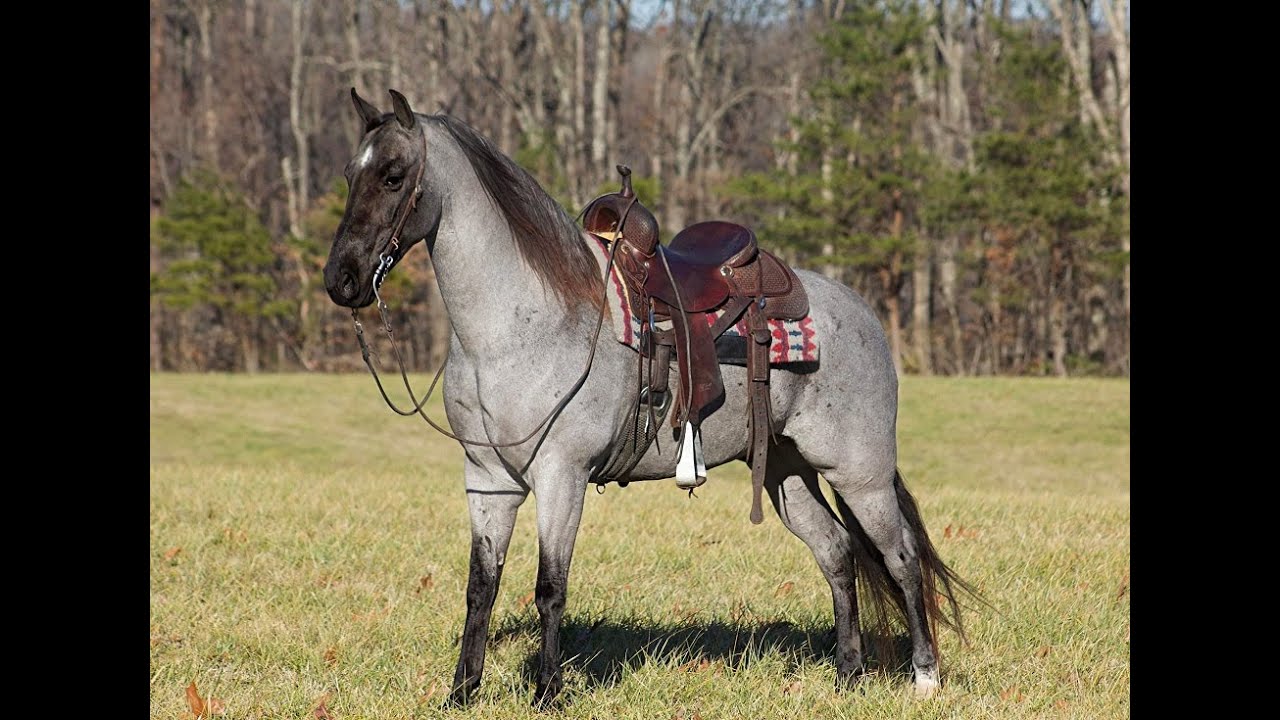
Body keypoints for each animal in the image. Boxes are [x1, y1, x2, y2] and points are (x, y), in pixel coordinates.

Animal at [323, 88, 970, 707]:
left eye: (394, 176)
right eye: (350, 173)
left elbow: (549, 587)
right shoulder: (487, 480)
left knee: (901, 558)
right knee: (837, 553)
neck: (518, 327)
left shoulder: (561, 475)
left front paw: (547, 692)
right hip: (784, 471)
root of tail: (862, 313)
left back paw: (924, 677)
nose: (342, 279)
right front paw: (462, 692)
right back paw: (848, 675)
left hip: (859, 471)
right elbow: (481, 587)